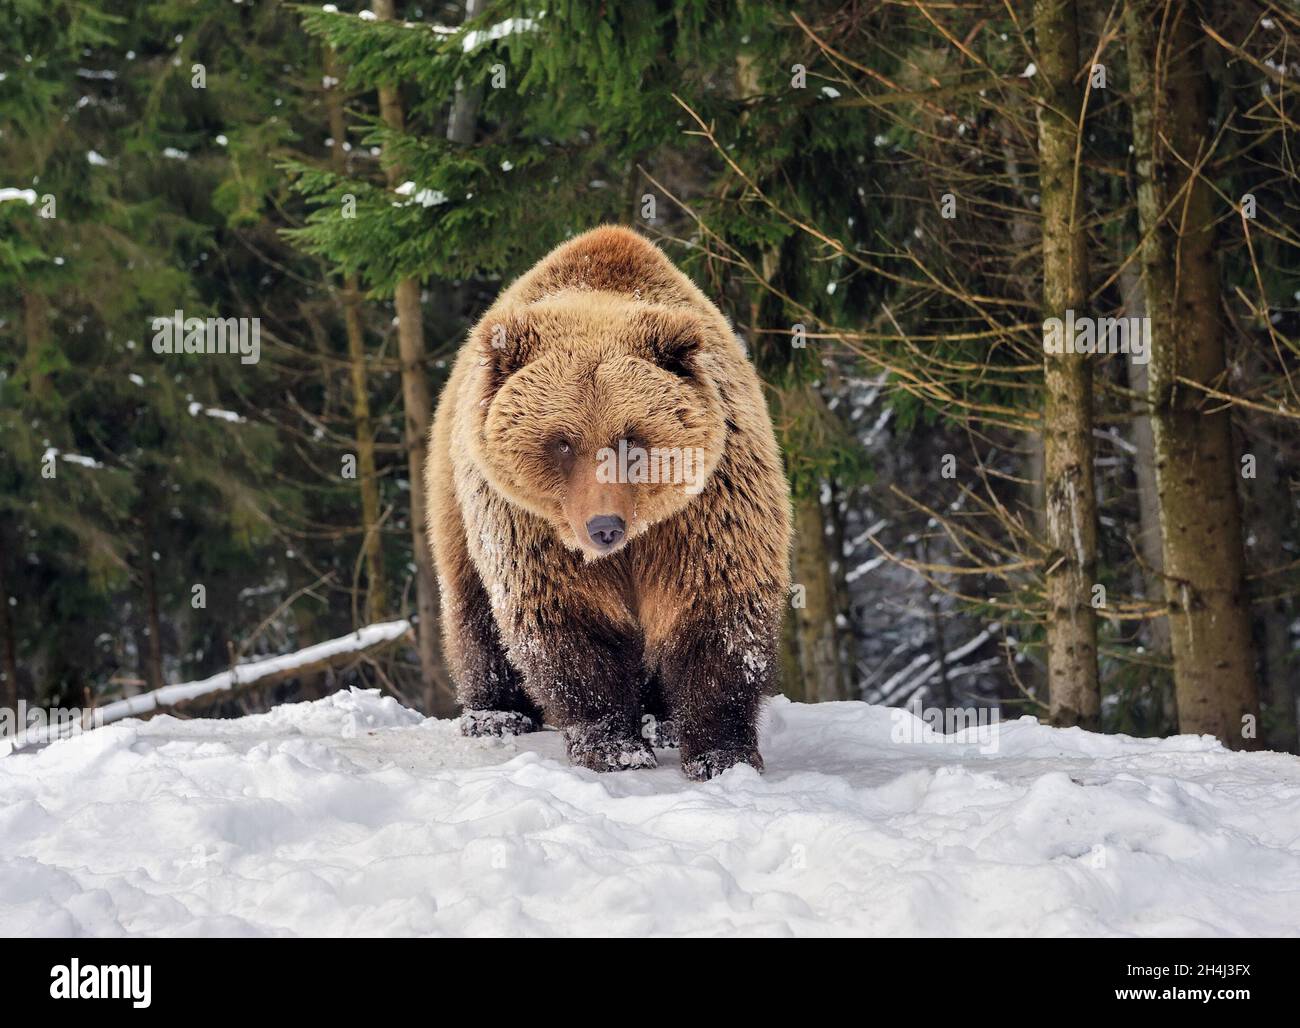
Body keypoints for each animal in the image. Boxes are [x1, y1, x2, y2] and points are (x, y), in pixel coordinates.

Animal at [425, 225, 791, 780]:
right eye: (562, 441)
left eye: (630, 439)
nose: (604, 526)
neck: (636, 538)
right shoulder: (533, 526)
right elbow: (569, 618)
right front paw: (613, 747)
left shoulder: (704, 509)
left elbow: (716, 612)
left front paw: (721, 754)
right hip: (456, 493)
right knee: (472, 604)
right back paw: (496, 714)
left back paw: (662, 720)